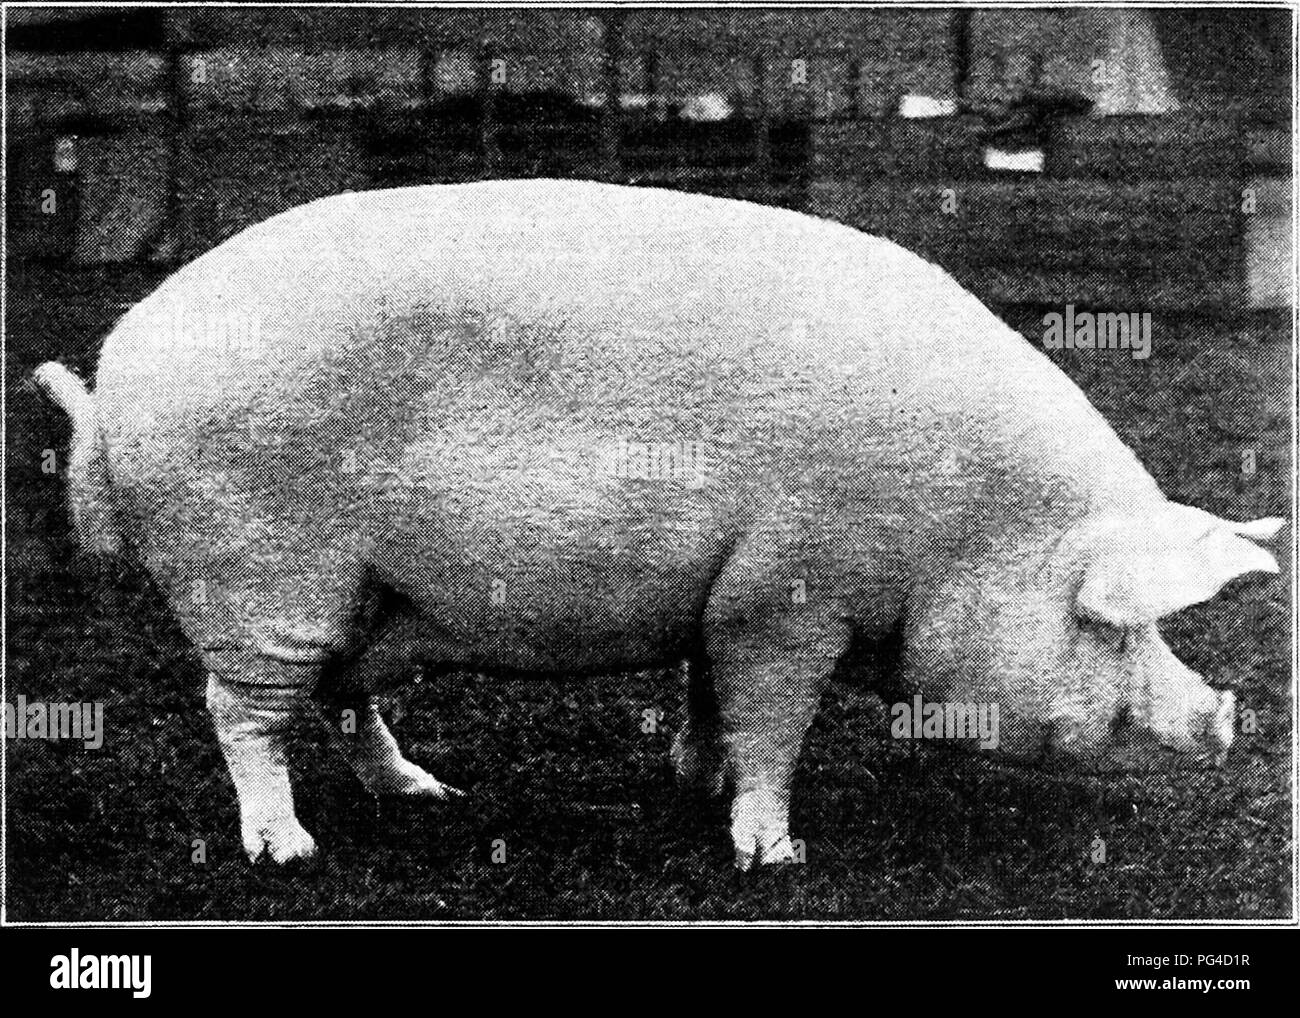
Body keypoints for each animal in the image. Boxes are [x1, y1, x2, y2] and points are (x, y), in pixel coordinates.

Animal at [34, 179, 1283, 868]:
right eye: (1111, 626)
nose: (1227, 722)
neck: (963, 532)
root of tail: (121, 356)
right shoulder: (789, 590)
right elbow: (776, 718)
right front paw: (772, 854)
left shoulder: (726, 592)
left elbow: (709, 691)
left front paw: (696, 781)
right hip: (258, 577)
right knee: (238, 709)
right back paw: (286, 851)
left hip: (356, 593)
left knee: (344, 696)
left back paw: (431, 795)